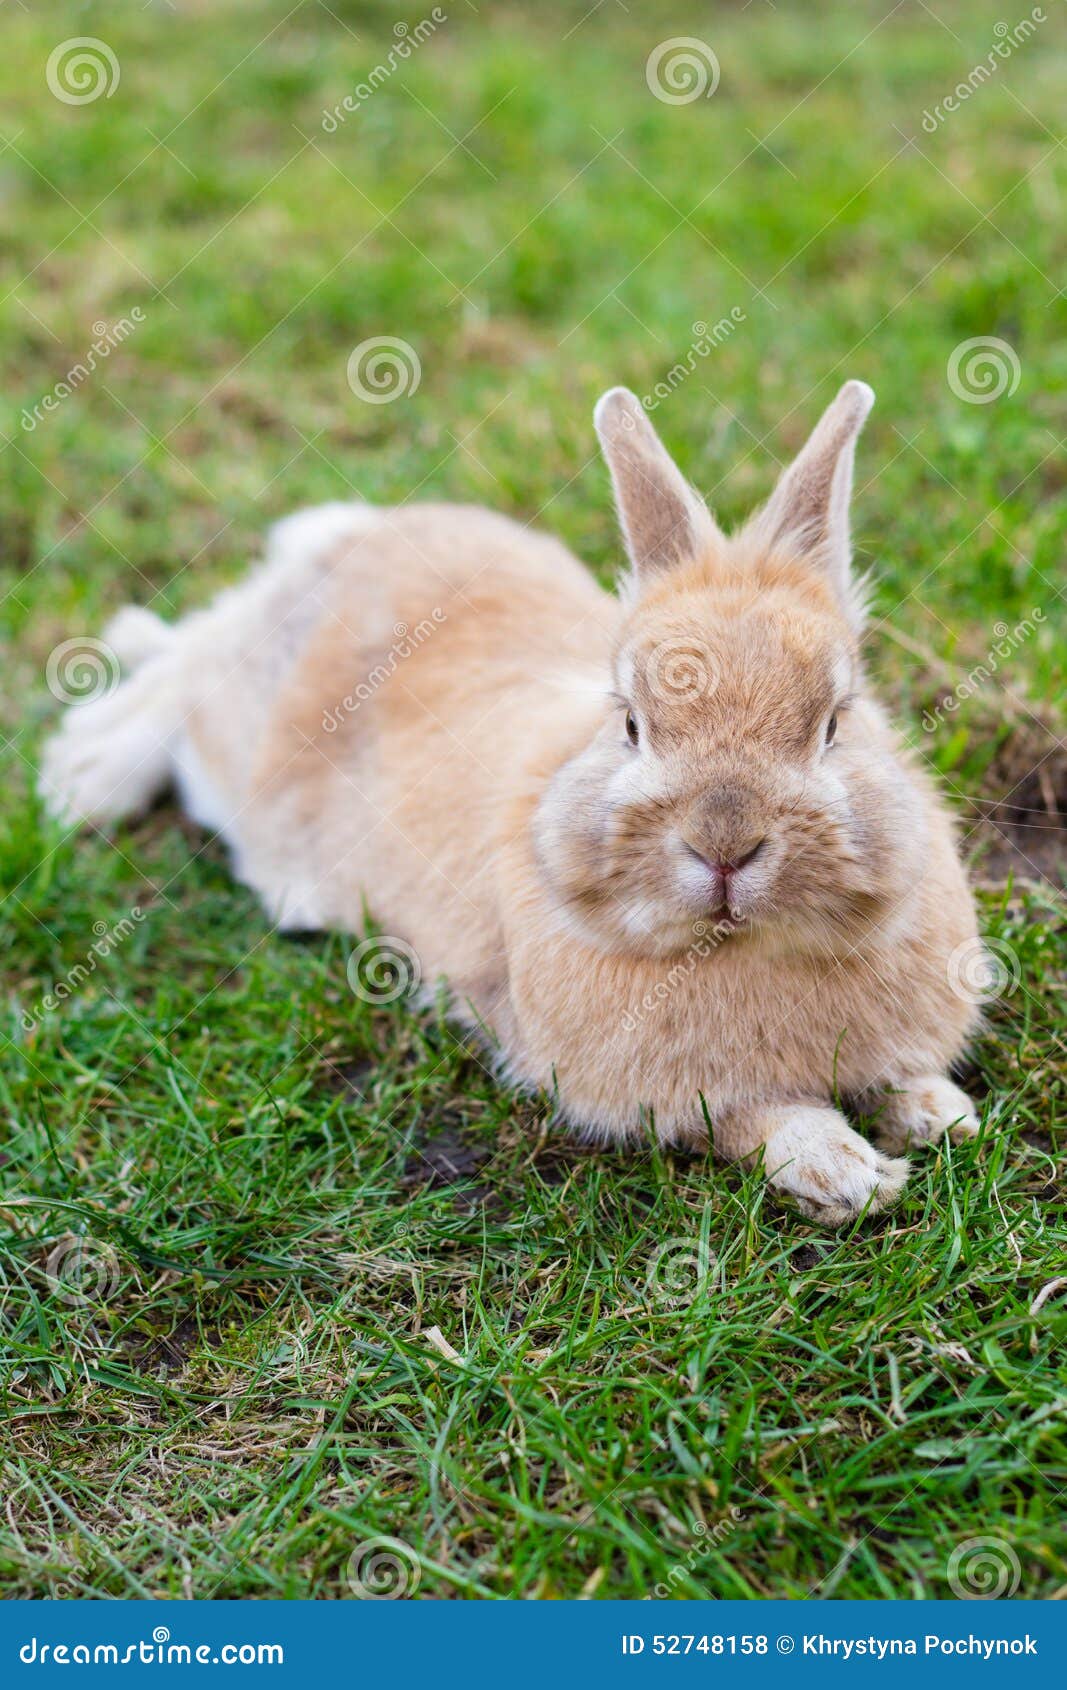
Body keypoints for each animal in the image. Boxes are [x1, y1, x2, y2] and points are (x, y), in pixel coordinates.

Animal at [40, 379, 983, 1227]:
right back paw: (84, 777)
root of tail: (351, 540)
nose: (725, 841)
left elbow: (901, 1077)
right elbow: (755, 1117)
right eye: (631, 724)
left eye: (834, 722)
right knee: (189, 668)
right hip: (238, 738)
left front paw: (941, 1115)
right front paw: (845, 1174)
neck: (737, 948)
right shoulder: (641, 1090)